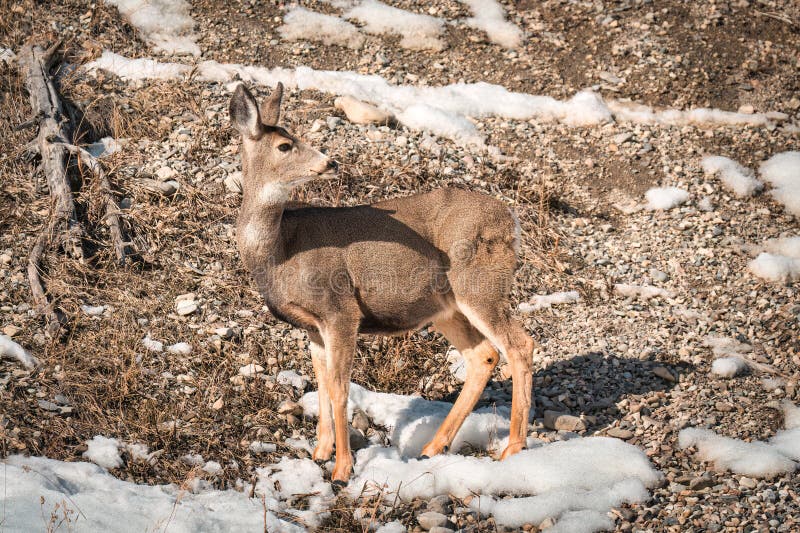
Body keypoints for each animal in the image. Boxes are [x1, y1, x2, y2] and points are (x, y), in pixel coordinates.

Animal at [229, 82, 536, 485]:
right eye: (284, 145)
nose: (330, 162)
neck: (279, 252)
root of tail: (511, 219)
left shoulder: (340, 310)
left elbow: (340, 389)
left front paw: (342, 470)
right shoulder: (312, 326)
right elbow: (322, 385)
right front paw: (319, 453)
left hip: (480, 284)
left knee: (520, 344)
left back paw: (512, 448)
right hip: (446, 307)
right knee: (484, 355)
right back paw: (431, 448)